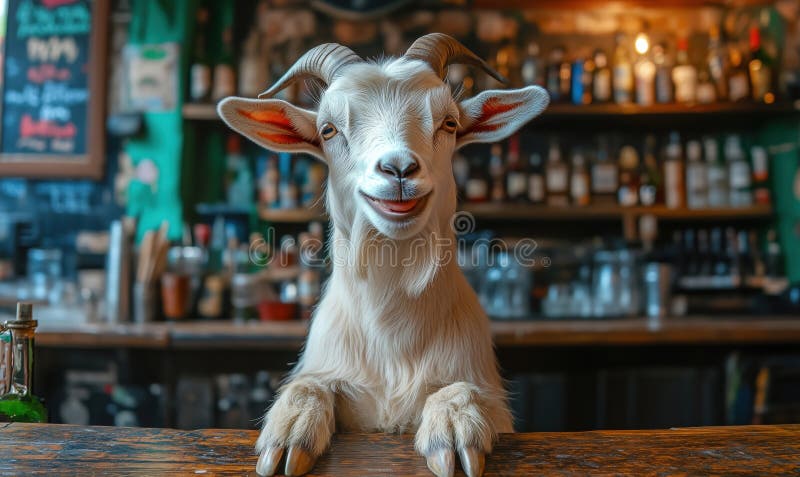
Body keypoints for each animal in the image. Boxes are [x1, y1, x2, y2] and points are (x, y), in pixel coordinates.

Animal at [218, 33, 549, 477]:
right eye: (328, 129)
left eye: (449, 122)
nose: (399, 170)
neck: (392, 333)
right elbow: (309, 384)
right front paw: (289, 432)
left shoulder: (484, 388)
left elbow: (462, 390)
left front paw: (453, 427)